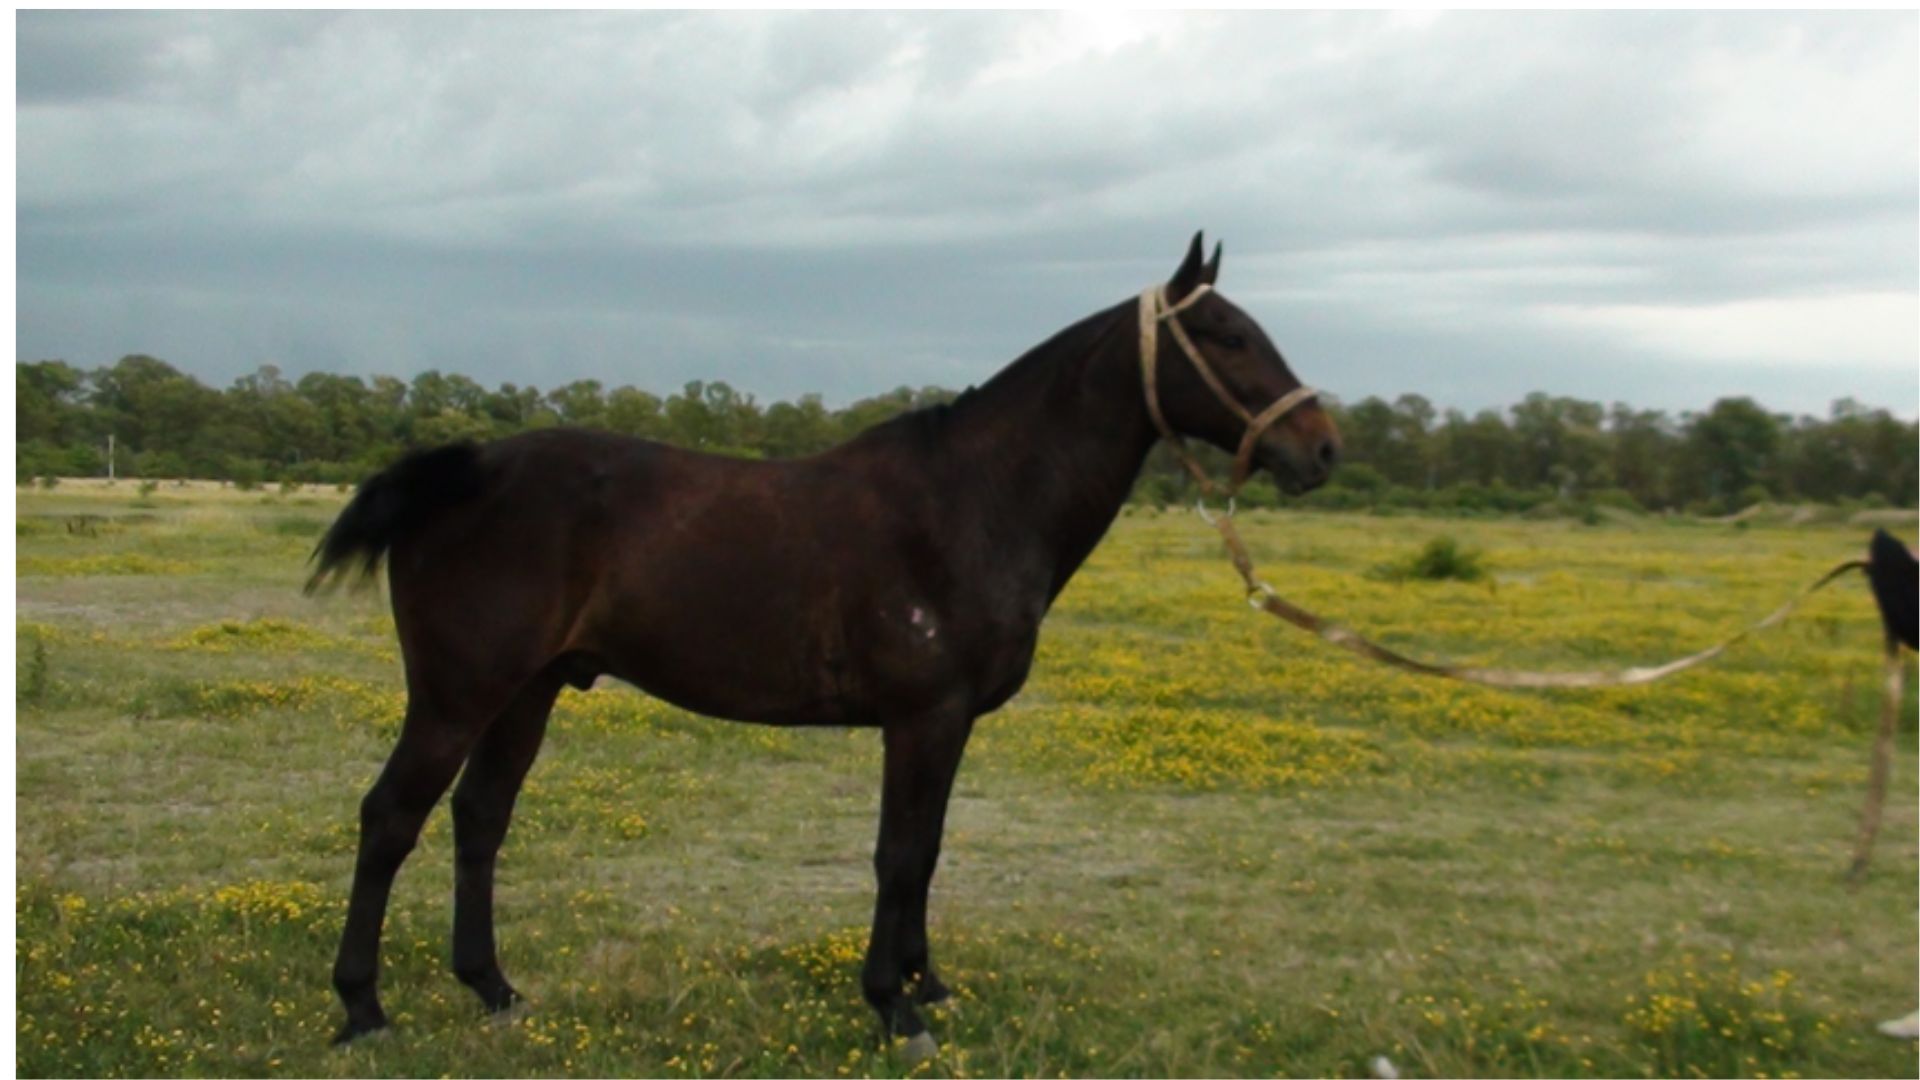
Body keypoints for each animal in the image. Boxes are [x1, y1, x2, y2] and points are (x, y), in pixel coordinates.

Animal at [308, 232, 1342, 1055]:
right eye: (1229, 336)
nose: (1323, 448)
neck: (977, 500)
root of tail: (465, 469)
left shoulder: (949, 724)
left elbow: (929, 849)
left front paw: (928, 983)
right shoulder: (922, 719)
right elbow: (900, 854)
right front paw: (894, 1007)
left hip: (531, 690)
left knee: (480, 817)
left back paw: (494, 989)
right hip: (457, 695)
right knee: (390, 818)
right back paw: (363, 1010)